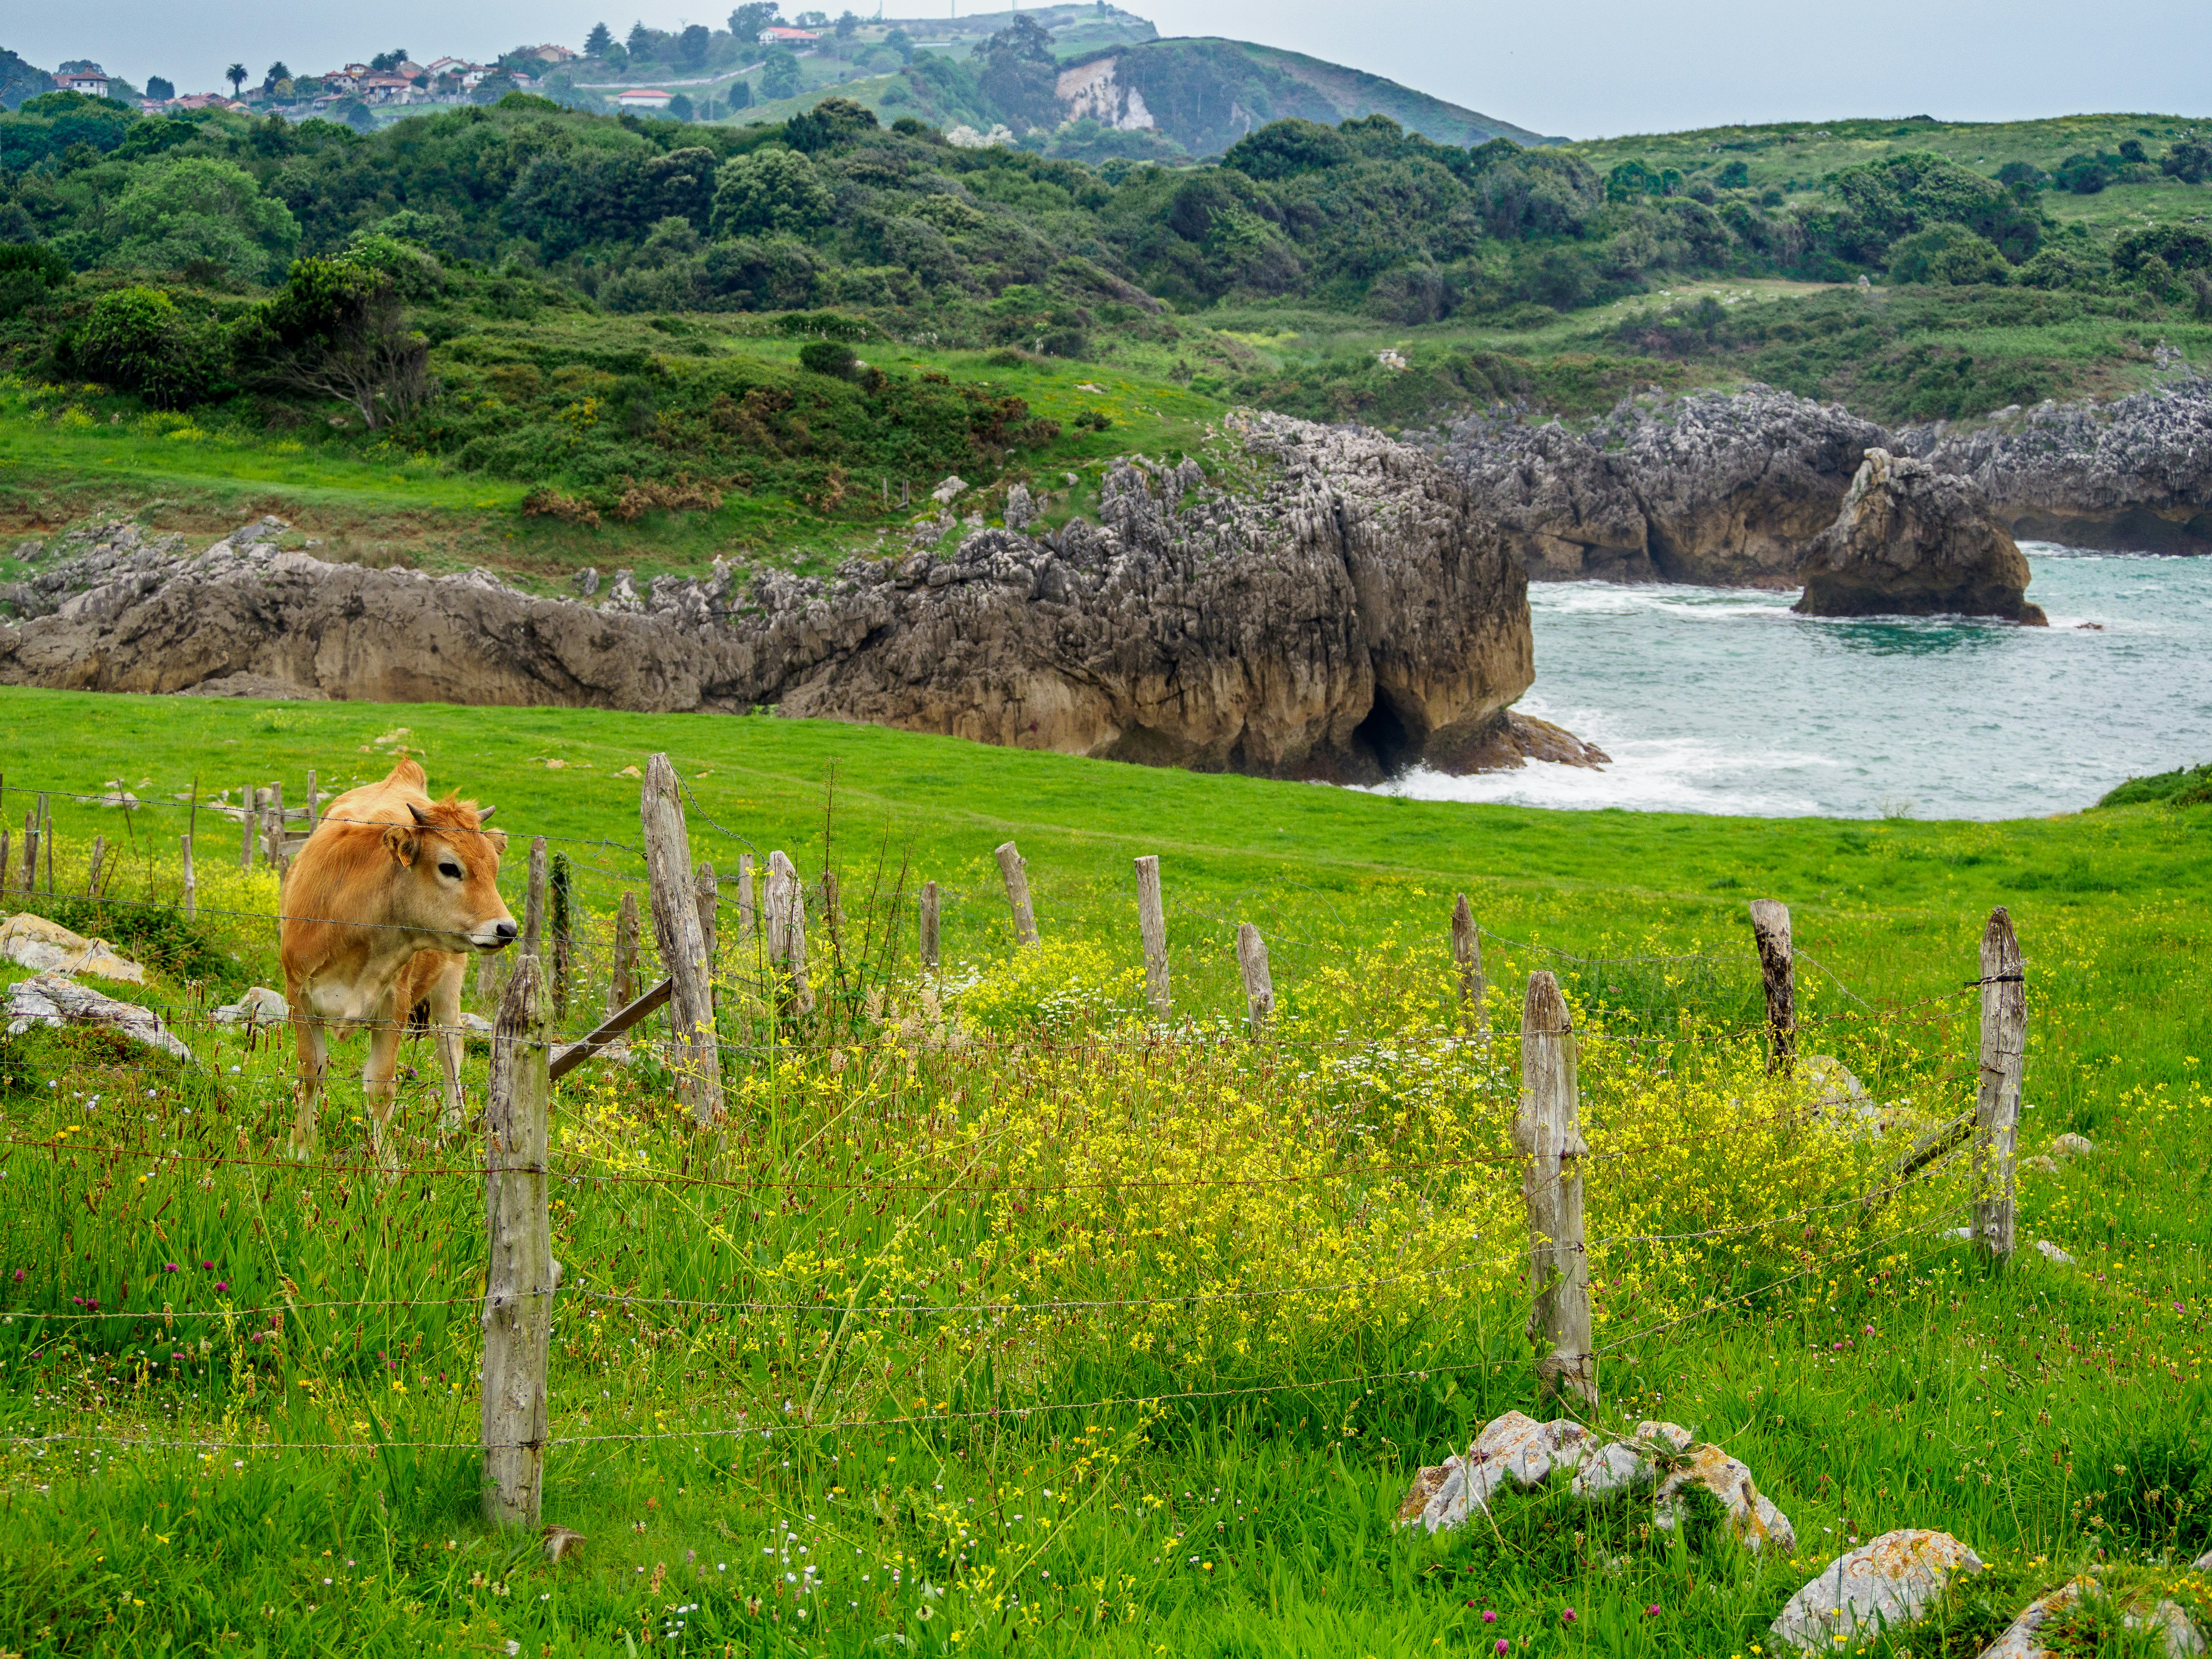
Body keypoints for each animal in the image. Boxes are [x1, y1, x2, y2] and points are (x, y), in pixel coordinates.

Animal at [280, 757, 516, 1165]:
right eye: (449, 867)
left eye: (493, 868)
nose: (507, 928)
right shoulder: (299, 995)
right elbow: (311, 1071)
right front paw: (302, 1148)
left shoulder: (394, 1002)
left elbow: (381, 1086)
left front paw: (386, 1164)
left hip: (449, 980)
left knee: (450, 1047)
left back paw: (454, 1124)